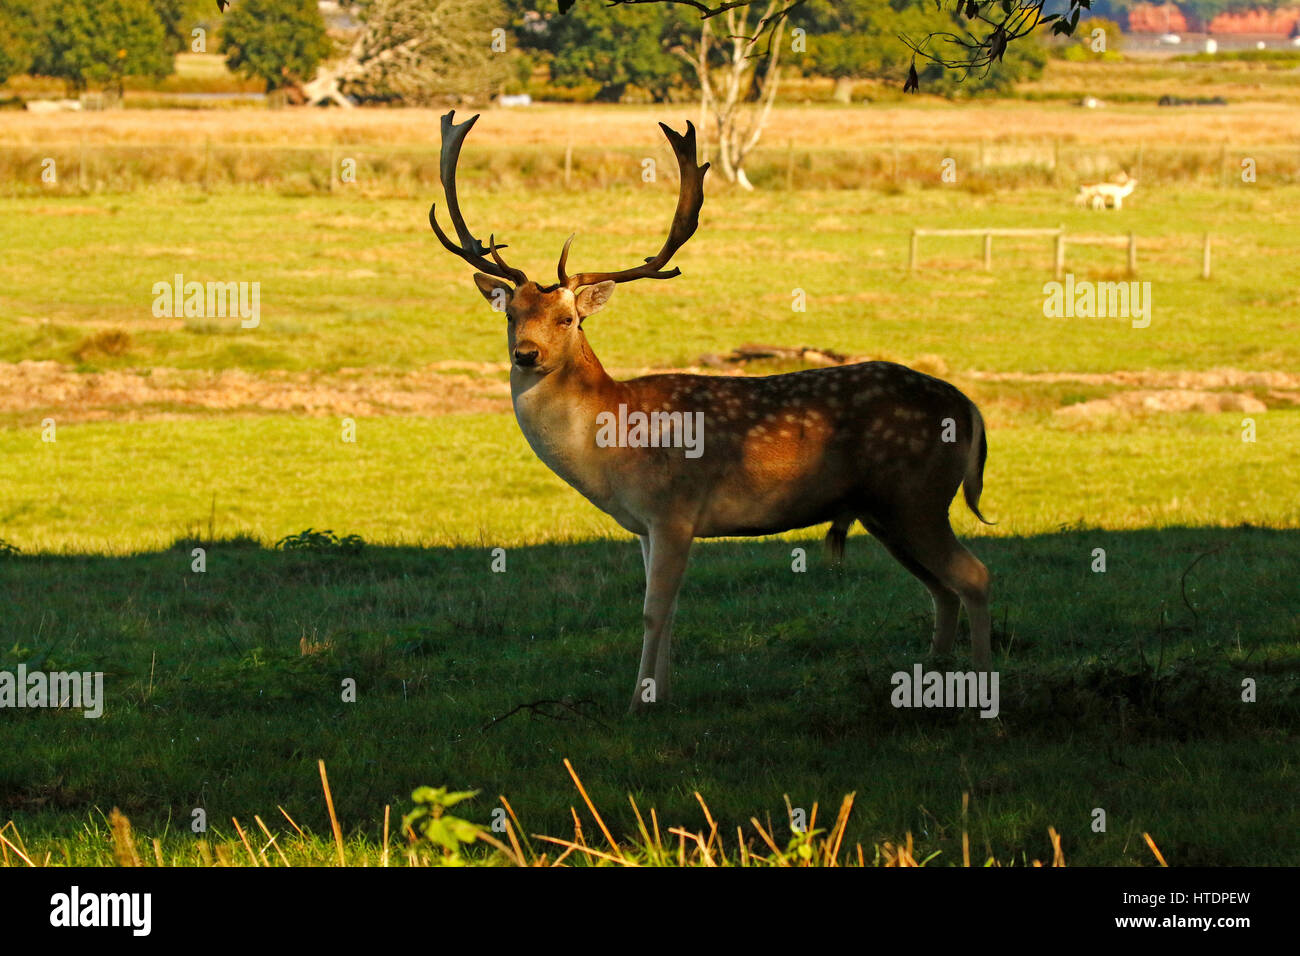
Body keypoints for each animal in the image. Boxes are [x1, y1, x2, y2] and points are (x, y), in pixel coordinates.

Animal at [429, 111, 994, 713]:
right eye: (511, 313)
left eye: (568, 319)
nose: (526, 354)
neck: (612, 441)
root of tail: (969, 408)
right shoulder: (645, 527)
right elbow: (671, 611)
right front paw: (663, 696)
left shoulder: (674, 510)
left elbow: (653, 612)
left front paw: (637, 704)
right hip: (885, 510)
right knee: (941, 588)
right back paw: (936, 675)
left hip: (917, 495)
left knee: (974, 576)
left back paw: (983, 692)